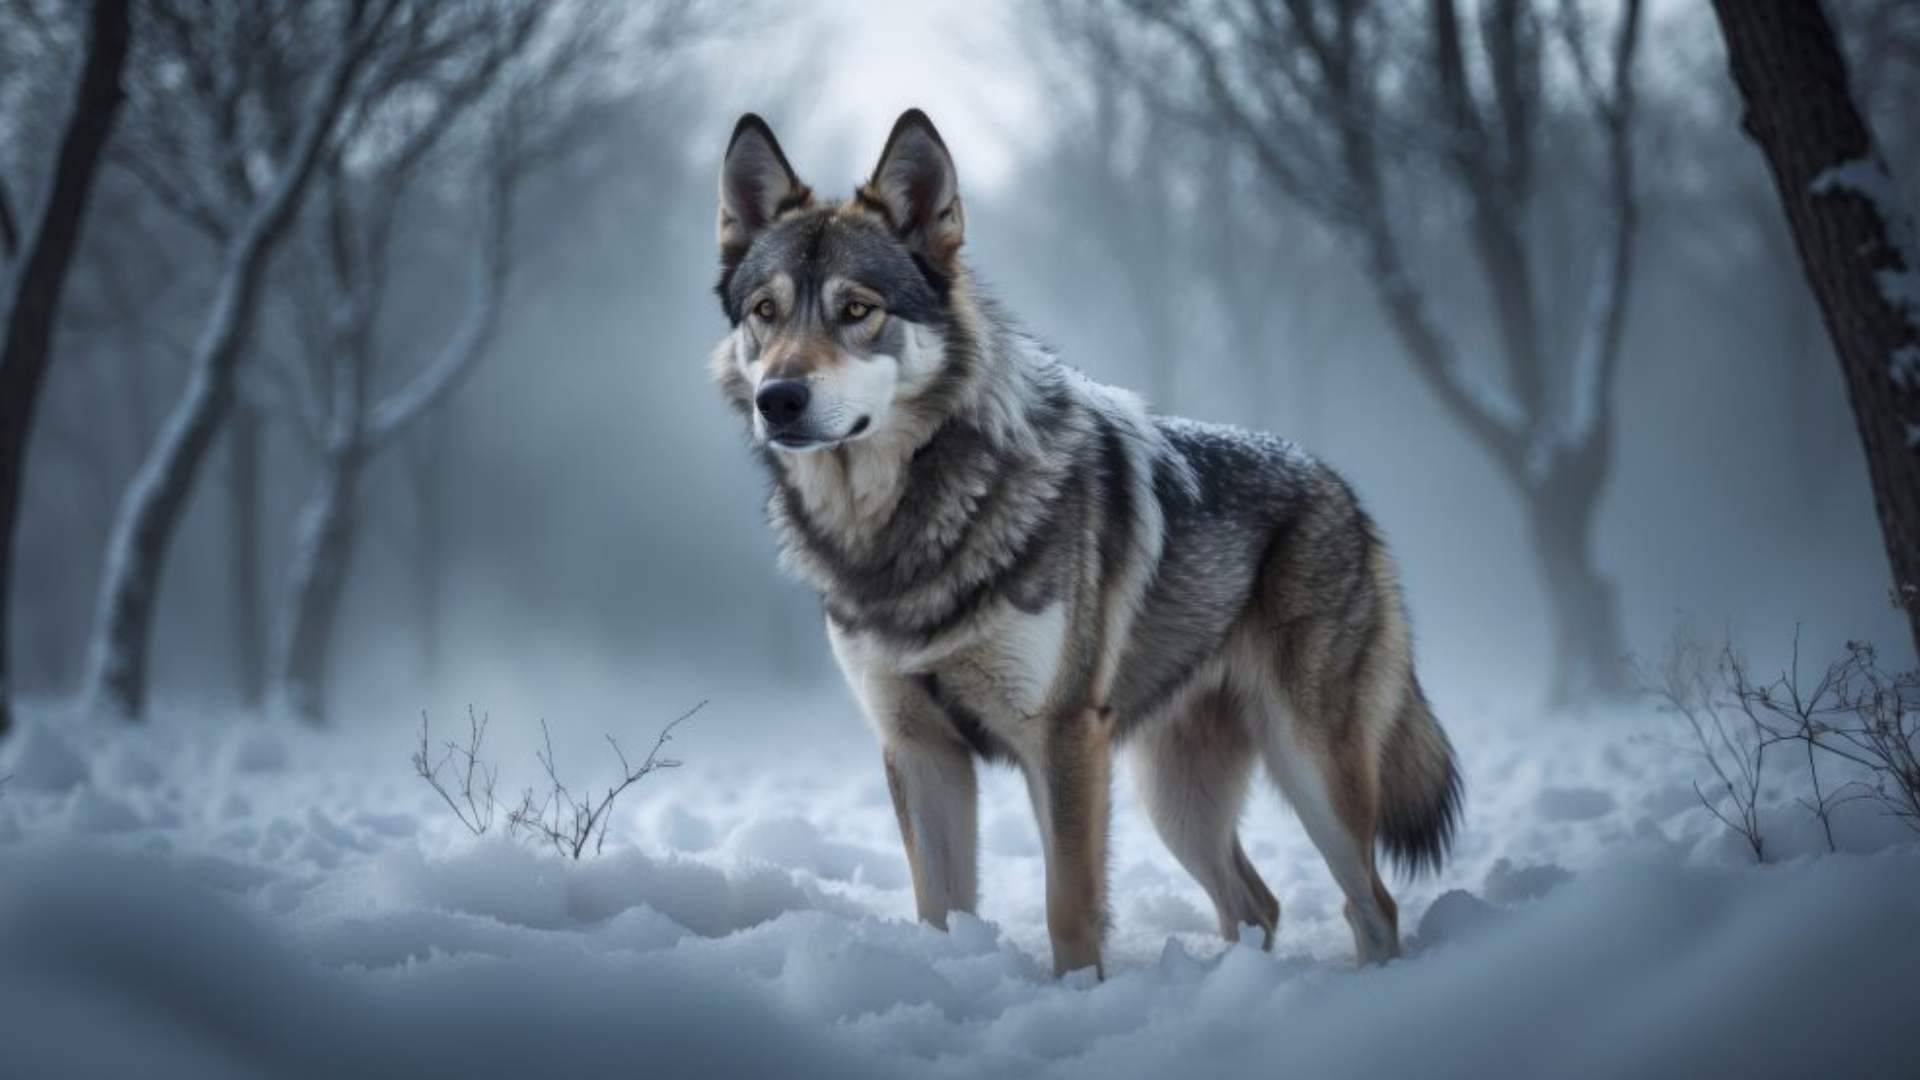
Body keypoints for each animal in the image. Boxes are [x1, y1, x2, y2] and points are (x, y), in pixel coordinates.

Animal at [709, 109, 1462, 976]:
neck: (902, 530)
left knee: (1371, 904)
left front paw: (1075, 989)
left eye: (857, 309)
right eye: (765, 311)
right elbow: (941, 912)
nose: (779, 399)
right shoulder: (918, 750)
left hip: (1306, 773)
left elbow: (1068, 911)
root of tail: (1340, 486)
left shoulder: (1062, 739)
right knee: (1257, 901)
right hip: (1173, 797)